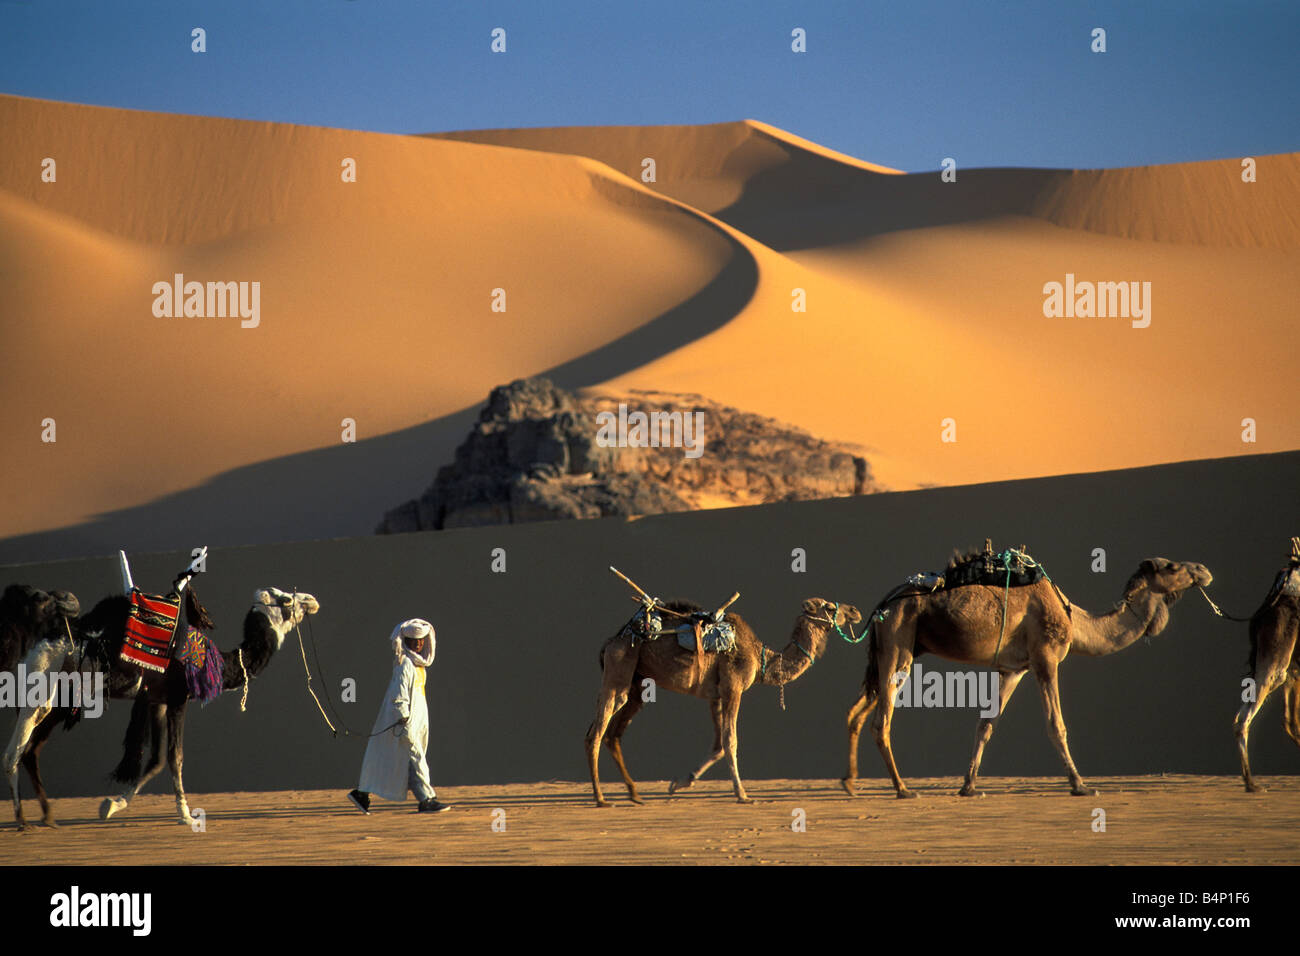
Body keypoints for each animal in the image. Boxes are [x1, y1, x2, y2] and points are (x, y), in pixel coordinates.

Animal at [2, 585, 319, 828]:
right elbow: (175, 757)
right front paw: (187, 816)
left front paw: (111, 805)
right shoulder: (179, 698)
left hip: (60, 702)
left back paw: (48, 817)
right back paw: (22, 821)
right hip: (41, 690)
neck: (213, 660)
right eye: (285, 600)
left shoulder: (157, 700)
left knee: (30, 751)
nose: (311, 600)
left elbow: (155, 760)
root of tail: (34, 648)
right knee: (13, 753)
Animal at [586, 596, 862, 806]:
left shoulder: (715, 695)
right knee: (596, 733)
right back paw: (601, 799)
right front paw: (743, 795)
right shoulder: (733, 688)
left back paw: (634, 794)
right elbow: (731, 740)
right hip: (619, 669)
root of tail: (610, 641)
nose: (855, 611)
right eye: (828, 606)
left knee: (613, 734)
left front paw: (678, 783)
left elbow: (718, 744)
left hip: (637, 683)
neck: (761, 657)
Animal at [842, 554, 1212, 798]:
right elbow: (1056, 724)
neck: (1073, 618)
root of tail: (881, 605)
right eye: (1173, 566)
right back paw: (903, 789)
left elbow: (986, 723)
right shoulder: (1045, 658)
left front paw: (968, 787)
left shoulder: (1013, 669)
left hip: (890, 652)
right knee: (880, 721)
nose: (1204, 571)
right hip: (898, 643)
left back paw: (851, 783)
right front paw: (1080, 785)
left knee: (857, 713)